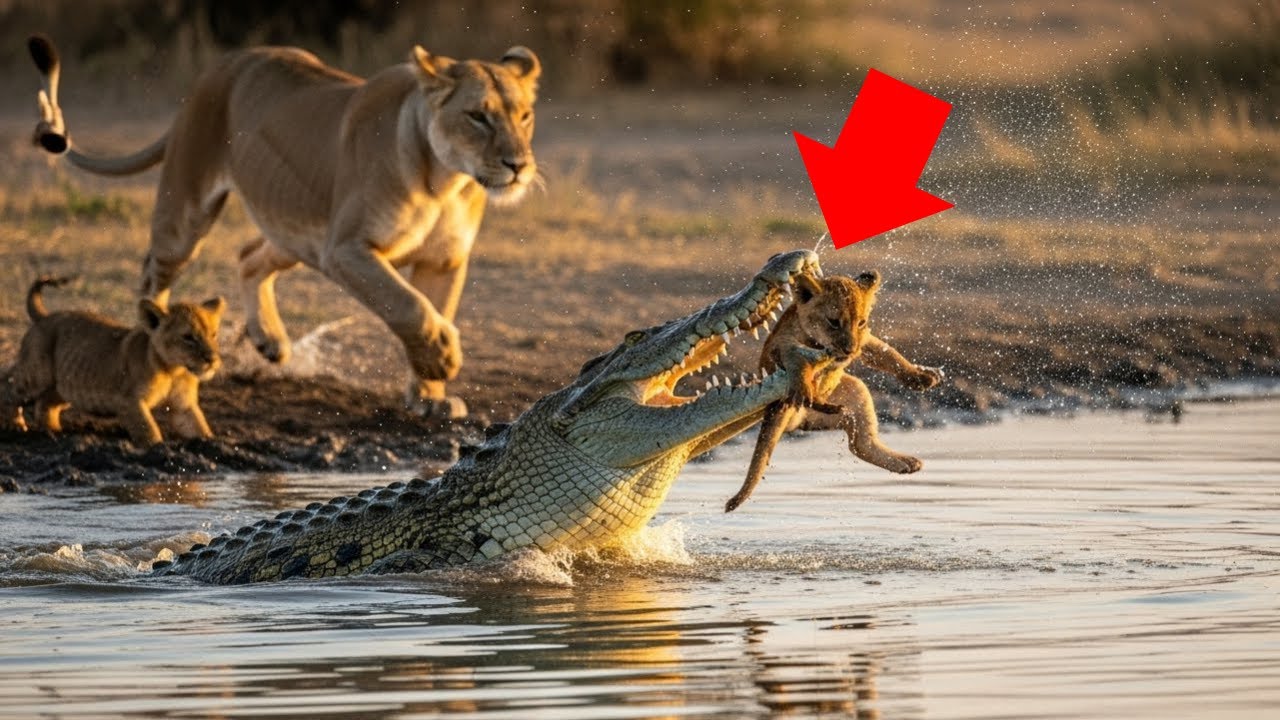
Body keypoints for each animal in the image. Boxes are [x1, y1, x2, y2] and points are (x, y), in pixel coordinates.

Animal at [0, 276, 226, 446]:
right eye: (188, 337)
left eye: (213, 334)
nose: (212, 359)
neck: (174, 370)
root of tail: (44, 316)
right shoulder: (130, 401)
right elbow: (148, 429)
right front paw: (158, 447)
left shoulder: (184, 405)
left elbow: (199, 426)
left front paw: (213, 444)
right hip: (37, 374)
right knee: (10, 388)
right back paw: (16, 424)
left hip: (62, 385)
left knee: (44, 405)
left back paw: (54, 432)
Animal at [28, 34, 541, 419]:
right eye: (478, 116)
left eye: (524, 115)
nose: (518, 166)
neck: (446, 180)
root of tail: (226, 62)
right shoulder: (347, 248)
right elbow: (408, 306)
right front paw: (442, 359)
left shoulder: (444, 259)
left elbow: (435, 307)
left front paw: (430, 397)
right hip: (187, 211)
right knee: (155, 271)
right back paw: (155, 345)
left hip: (293, 231)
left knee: (248, 256)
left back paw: (271, 340)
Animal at [724, 270, 943, 513]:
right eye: (834, 322)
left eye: (861, 322)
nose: (849, 350)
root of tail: (794, 418)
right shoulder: (786, 345)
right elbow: (798, 365)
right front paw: (807, 388)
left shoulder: (864, 340)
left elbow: (888, 354)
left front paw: (922, 377)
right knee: (855, 442)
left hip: (856, 390)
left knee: (860, 445)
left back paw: (905, 462)